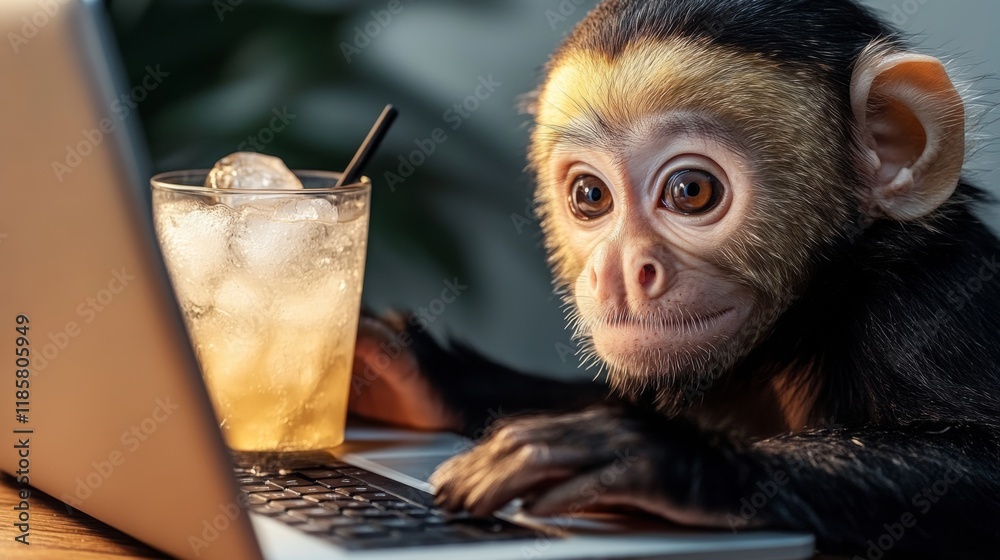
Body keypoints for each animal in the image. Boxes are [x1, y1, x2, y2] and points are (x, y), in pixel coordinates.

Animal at [349, 0, 1000, 557]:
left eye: (691, 190)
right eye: (590, 196)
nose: (617, 270)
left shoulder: (927, 305)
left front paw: (663, 458)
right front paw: (419, 378)